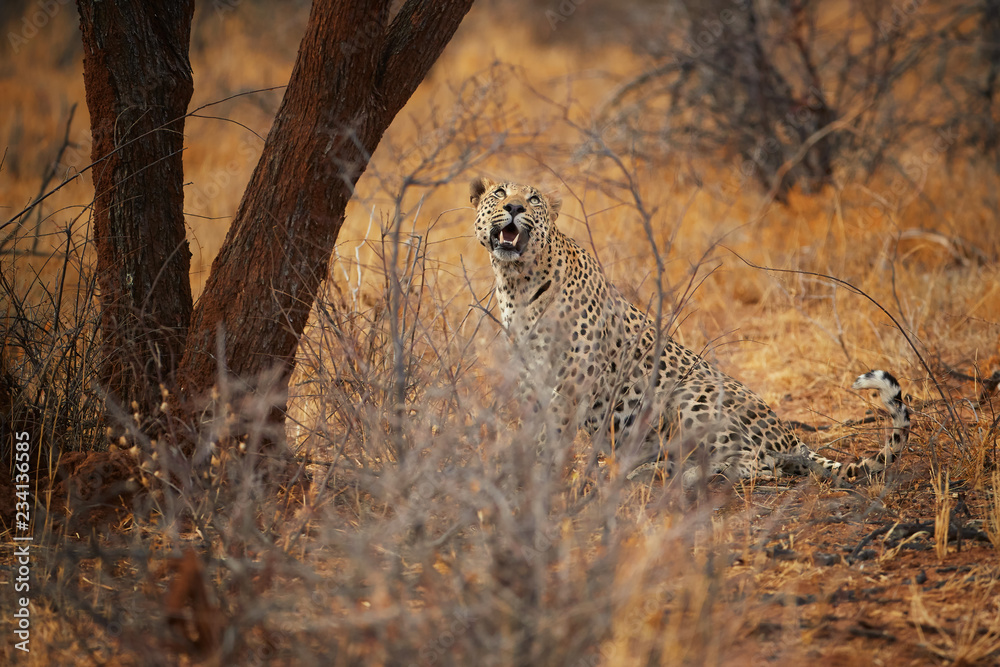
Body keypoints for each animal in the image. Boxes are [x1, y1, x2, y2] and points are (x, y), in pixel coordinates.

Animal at [470, 176, 911, 488]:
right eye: (499, 192)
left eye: (534, 199)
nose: (513, 206)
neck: (517, 281)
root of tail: (792, 437)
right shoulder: (530, 378)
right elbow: (533, 430)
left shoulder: (573, 379)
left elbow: (554, 433)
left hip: (689, 395)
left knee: (757, 466)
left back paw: (675, 475)